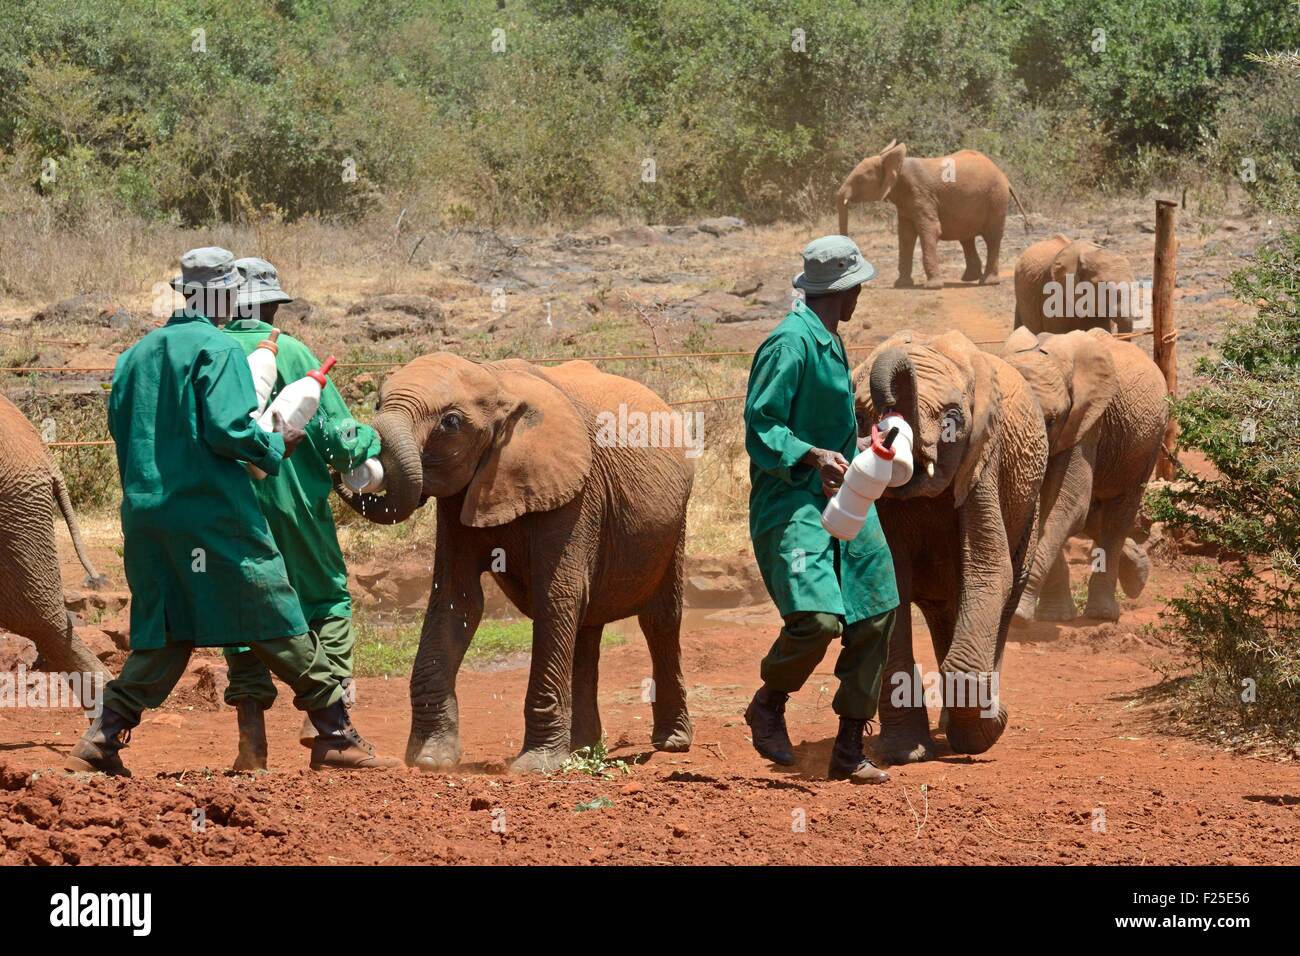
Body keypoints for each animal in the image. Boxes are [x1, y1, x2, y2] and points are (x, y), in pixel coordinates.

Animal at [338, 353, 695, 773]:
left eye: (451, 422)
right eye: (378, 404)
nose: (352, 458)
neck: (497, 380)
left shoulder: (576, 494)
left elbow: (555, 598)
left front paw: (535, 767)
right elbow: (456, 601)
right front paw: (430, 760)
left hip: (675, 522)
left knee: (659, 619)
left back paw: (671, 742)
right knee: (586, 626)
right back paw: (583, 751)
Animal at [836, 142, 1028, 289]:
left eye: (860, 180)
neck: (896, 165)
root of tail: (1004, 176)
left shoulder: (921, 194)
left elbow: (930, 230)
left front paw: (932, 287)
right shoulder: (906, 203)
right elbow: (905, 236)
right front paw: (902, 285)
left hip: (996, 199)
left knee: (992, 238)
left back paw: (987, 282)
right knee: (967, 239)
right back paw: (969, 278)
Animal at [852, 330, 1047, 763]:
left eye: (952, 421)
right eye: (860, 417)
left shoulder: (982, 462)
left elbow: (989, 569)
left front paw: (990, 728)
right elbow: (887, 582)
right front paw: (906, 753)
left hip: (1030, 508)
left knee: (1006, 591)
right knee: (945, 608)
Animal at [1002, 327, 1167, 622]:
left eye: (1052, 420)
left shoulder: (1086, 422)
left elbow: (1067, 506)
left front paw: (1019, 617)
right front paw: (1054, 616)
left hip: (1148, 445)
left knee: (1117, 517)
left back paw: (1102, 614)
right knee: (1096, 516)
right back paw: (1138, 573)